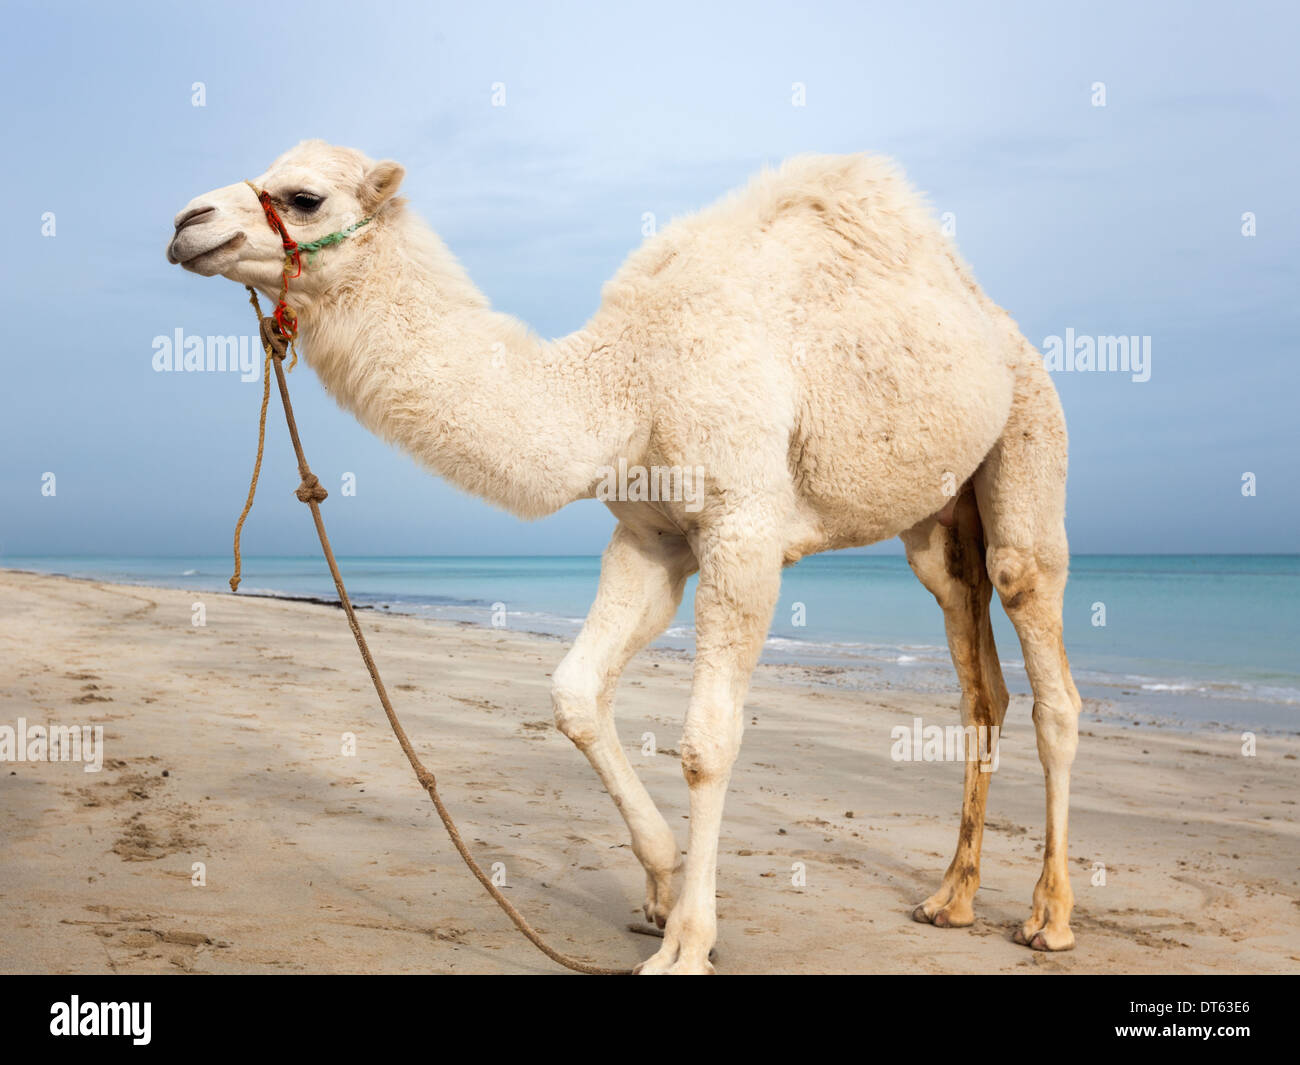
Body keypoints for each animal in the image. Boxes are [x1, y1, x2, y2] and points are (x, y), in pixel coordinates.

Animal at [166, 140, 1082, 974]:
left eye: (304, 196)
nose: (185, 223)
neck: (625, 378)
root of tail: (994, 320)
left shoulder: (743, 528)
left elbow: (707, 740)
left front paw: (688, 943)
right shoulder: (652, 535)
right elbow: (575, 693)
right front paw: (661, 888)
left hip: (1031, 427)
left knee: (1040, 640)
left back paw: (1049, 917)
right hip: (936, 519)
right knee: (977, 674)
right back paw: (950, 899)